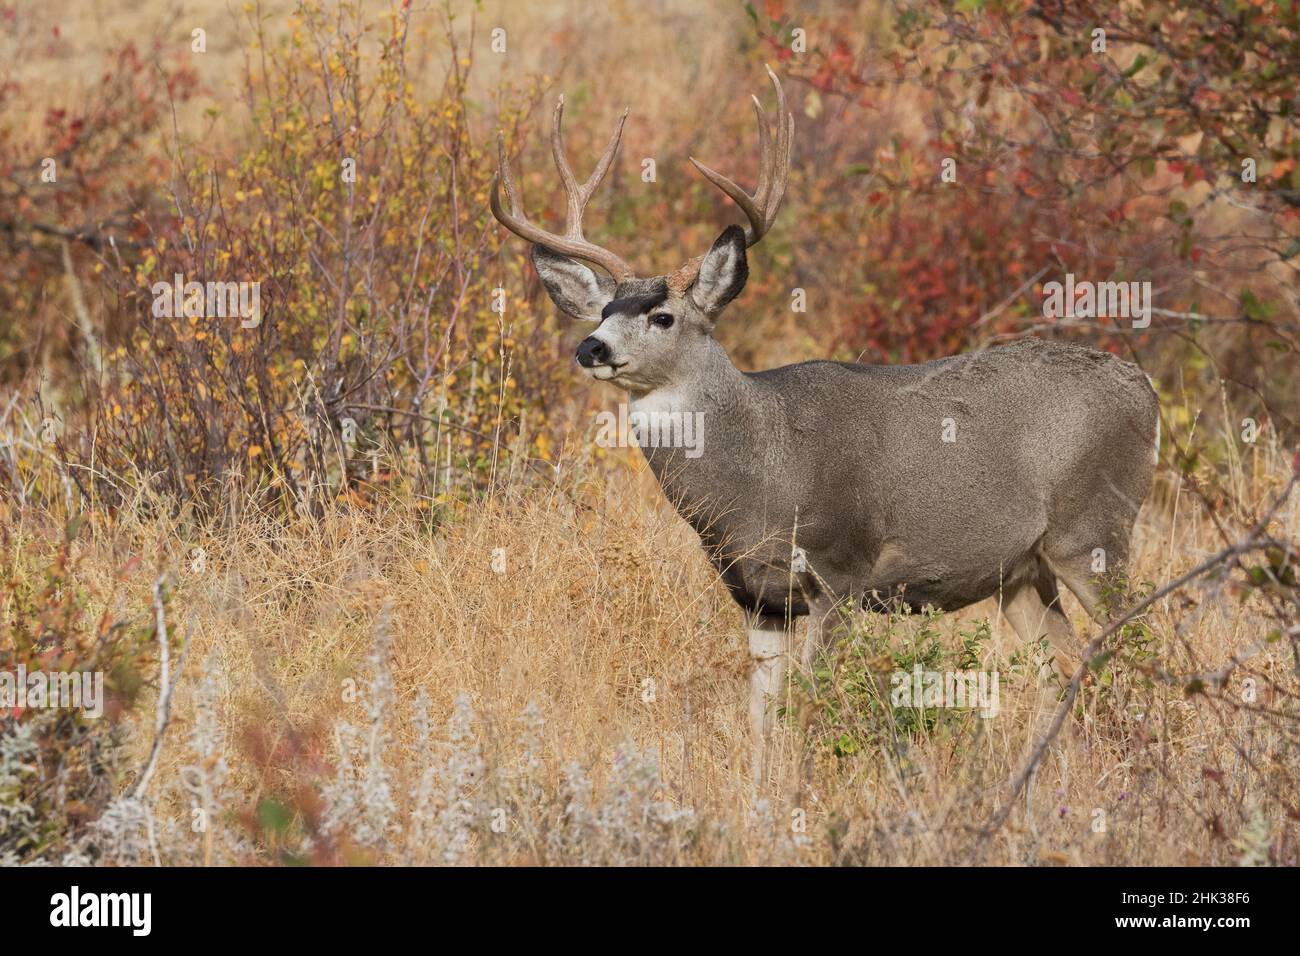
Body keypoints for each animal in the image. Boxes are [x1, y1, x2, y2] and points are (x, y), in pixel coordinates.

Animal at [490, 67, 1160, 781]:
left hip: (1093, 532)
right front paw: (762, 790)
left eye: (662, 316)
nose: (591, 348)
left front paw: (803, 786)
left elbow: (810, 703)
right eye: (604, 310)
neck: (765, 469)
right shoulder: (756, 596)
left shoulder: (842, 569)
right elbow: (761, 717)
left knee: (1137, 643)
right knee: (1066, 663)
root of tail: (1146, 388)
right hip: (1023, 572)